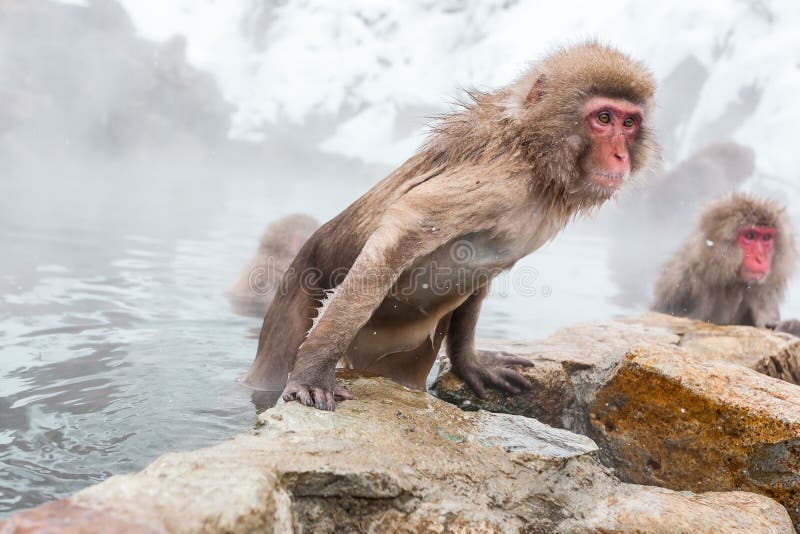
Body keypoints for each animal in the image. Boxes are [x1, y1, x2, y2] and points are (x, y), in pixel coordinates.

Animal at [243, 42, 658, 411]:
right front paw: (314, 370)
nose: (620, 156)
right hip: (294, 298)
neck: (536, 155)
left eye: (629, 122)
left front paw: (469, 362)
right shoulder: (500, 182)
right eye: (603, 118)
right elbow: (404, 231)